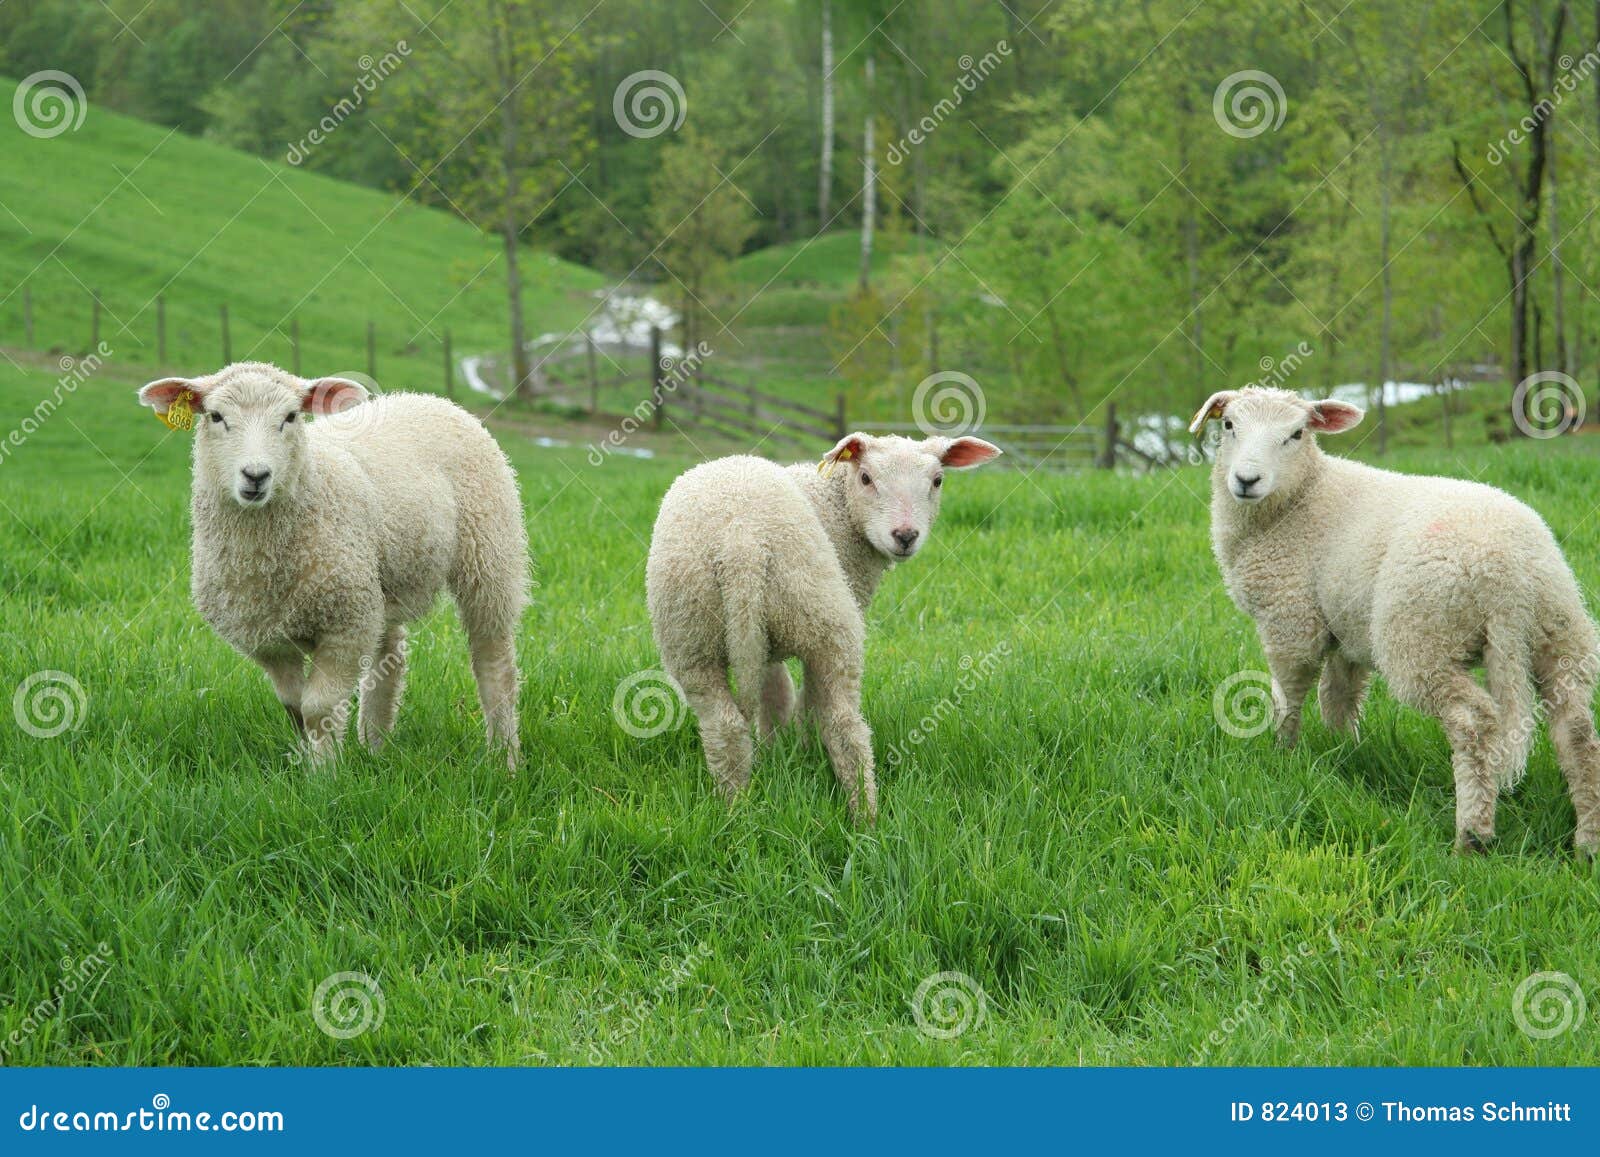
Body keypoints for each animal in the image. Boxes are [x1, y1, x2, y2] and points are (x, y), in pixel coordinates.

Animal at [137, 362, 528, 768]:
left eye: (291, 417)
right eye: (216, 417)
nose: (256, 476)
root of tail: (428, 398)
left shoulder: (345, 625)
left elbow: (318, 707)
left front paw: (325, 773)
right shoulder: (267, 639)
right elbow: (294, 706)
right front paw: (311, 762)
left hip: (488, 553)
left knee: (494, 662)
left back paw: (504, 758)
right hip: (377, 580)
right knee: (390, 657)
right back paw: (374, 745)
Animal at [646, 432, 1001, 822]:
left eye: (937, 481)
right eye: (866, 478)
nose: (905, 535)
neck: (838, 506)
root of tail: (741, 543)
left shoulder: (761, 644)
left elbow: (776, 695)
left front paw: (775, 748)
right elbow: (804, 702)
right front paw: (799, 747)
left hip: (689, 631)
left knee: (723, 727)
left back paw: (735, 809)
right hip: (826, 617)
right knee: (845, 728)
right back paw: (865, 816)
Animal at [1190, 385, 1600, 855]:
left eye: (1296, 434)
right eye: (1228, 425)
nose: (1246, 480)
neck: (1300, 499)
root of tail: (1505, 576)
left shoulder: (1289, 618)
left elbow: (1288, 696)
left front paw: (1283, 753)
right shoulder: (1346, 628)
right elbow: (1339, 697)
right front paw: (1341, 752)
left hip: (1420, 637)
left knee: (1474, 722)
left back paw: (1472, 836)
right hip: (1560, 631)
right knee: (1576, 730)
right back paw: (1588, 842)